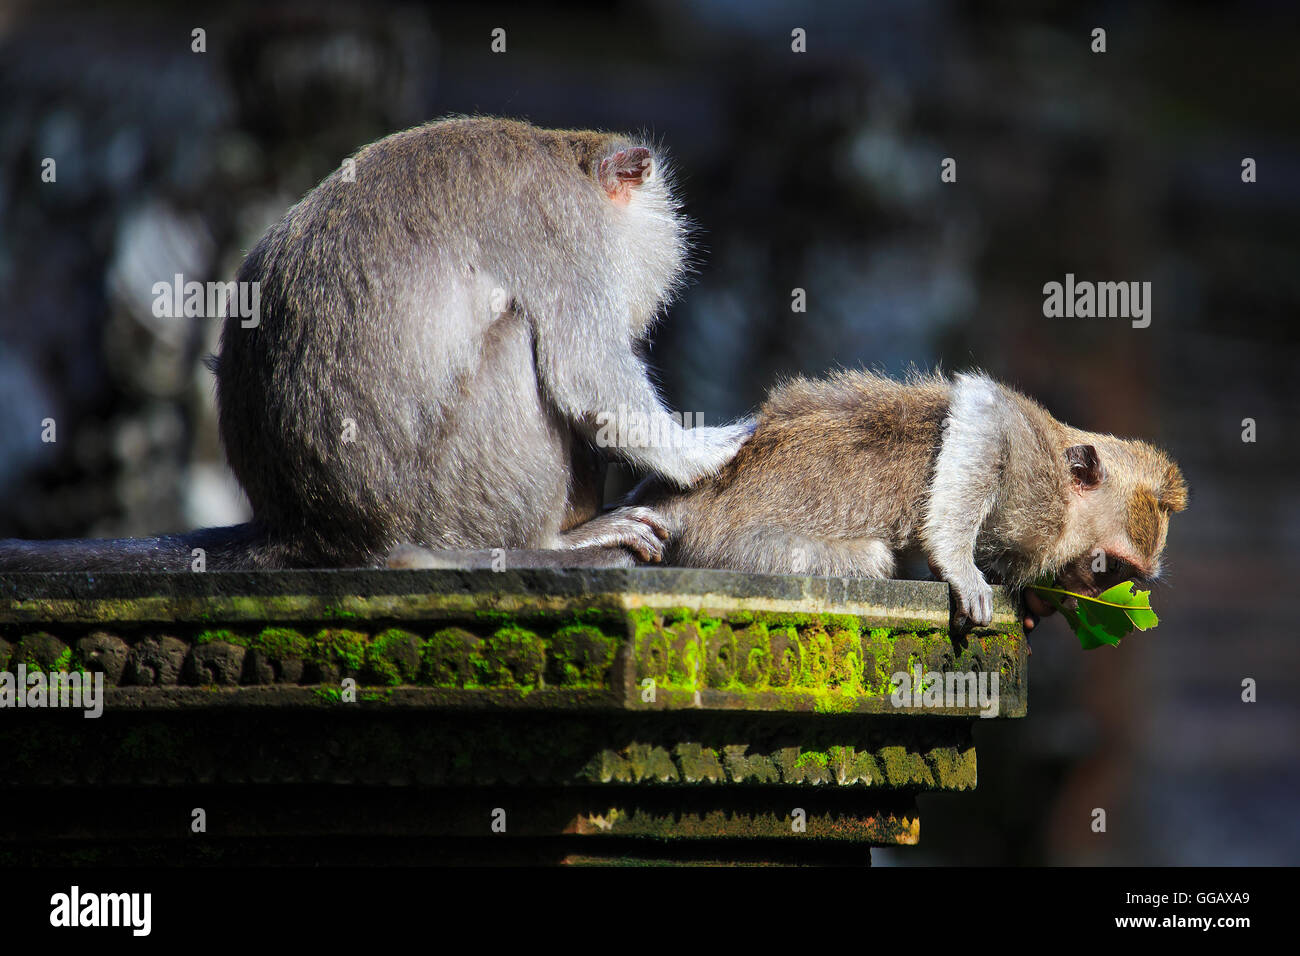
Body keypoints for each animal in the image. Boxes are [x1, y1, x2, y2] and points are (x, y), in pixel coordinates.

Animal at [0, 117, 750, 572]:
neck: (567, 159)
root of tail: (312, 527)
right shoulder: (564, 233)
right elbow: (588, 377)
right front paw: (702, 451)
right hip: (452, 506)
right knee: (518, 337)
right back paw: (551, 541)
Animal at [627, 370, 1189, 629]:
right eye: (1105, 568)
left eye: (1119, 576)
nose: (1087, 597)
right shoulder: (1040, 487)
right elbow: (986, 408)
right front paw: (958, 566)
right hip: (734, 546)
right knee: (871, 558)